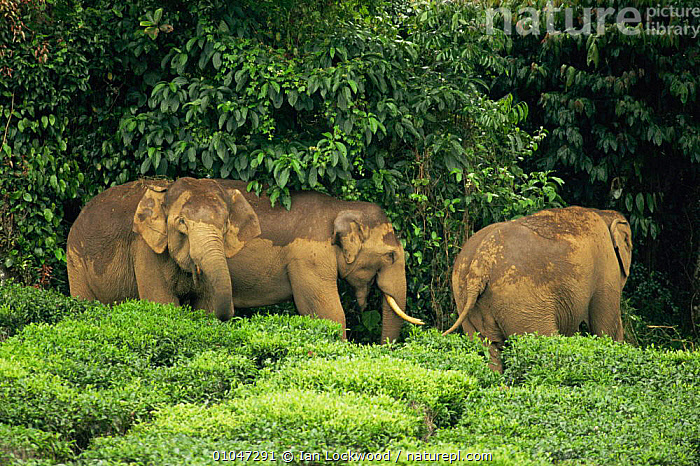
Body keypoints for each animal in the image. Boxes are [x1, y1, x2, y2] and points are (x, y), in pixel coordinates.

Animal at [66, 177, 261, 321]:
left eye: (226, 224)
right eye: (182, 222)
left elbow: (206, 305)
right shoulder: (144, 247)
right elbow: (162, 302)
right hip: (74, 260)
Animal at [443, 206, 633, 372]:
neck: (603, 213)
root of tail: (479, 265)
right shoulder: (606, 270)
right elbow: (607, 328)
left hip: (464, 296)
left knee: (487, 348)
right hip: (523, 301)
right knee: (542, 342)